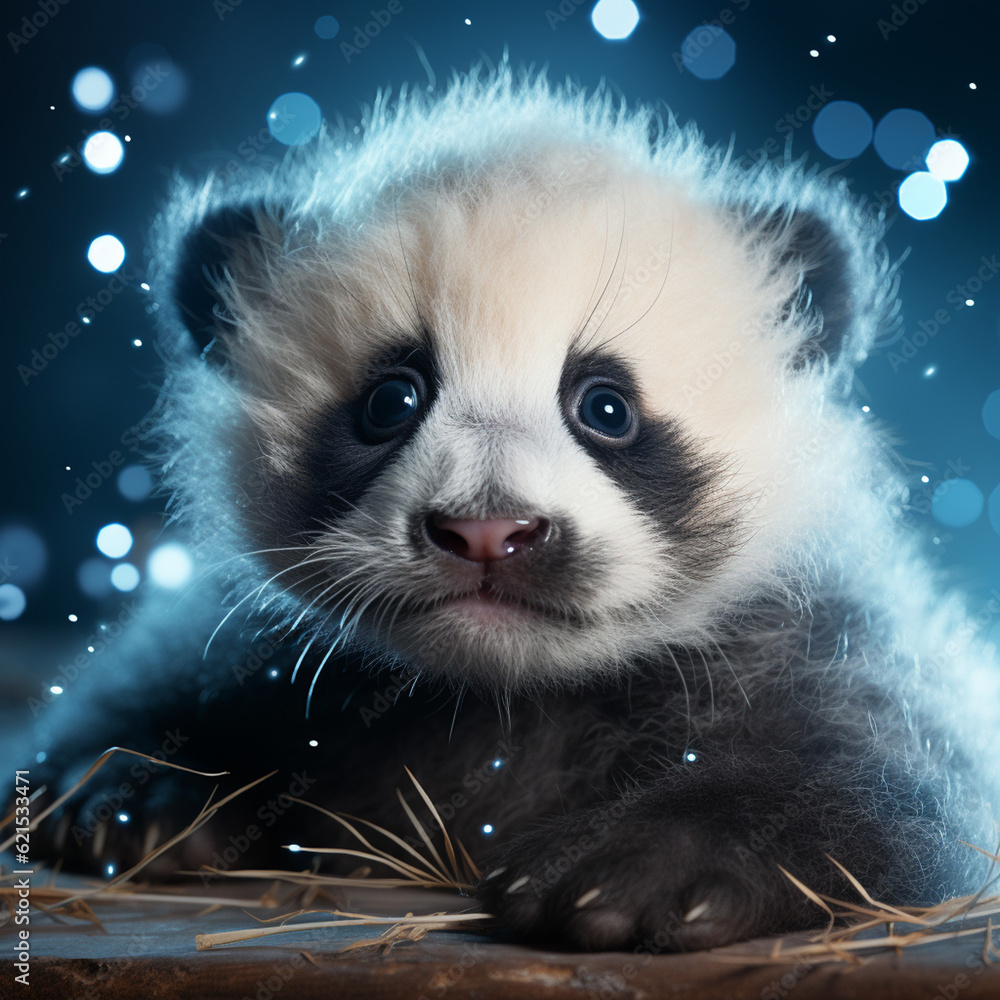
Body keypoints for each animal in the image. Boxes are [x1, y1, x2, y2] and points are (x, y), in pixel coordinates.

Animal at [24, 64, 997, 952]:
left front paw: (636, 872)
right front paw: (141, 800)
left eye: (605, 406)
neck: (500, 693)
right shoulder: (255, 647)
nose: (488, 531)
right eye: (391, 400)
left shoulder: (819, 637)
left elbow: (901, 789)